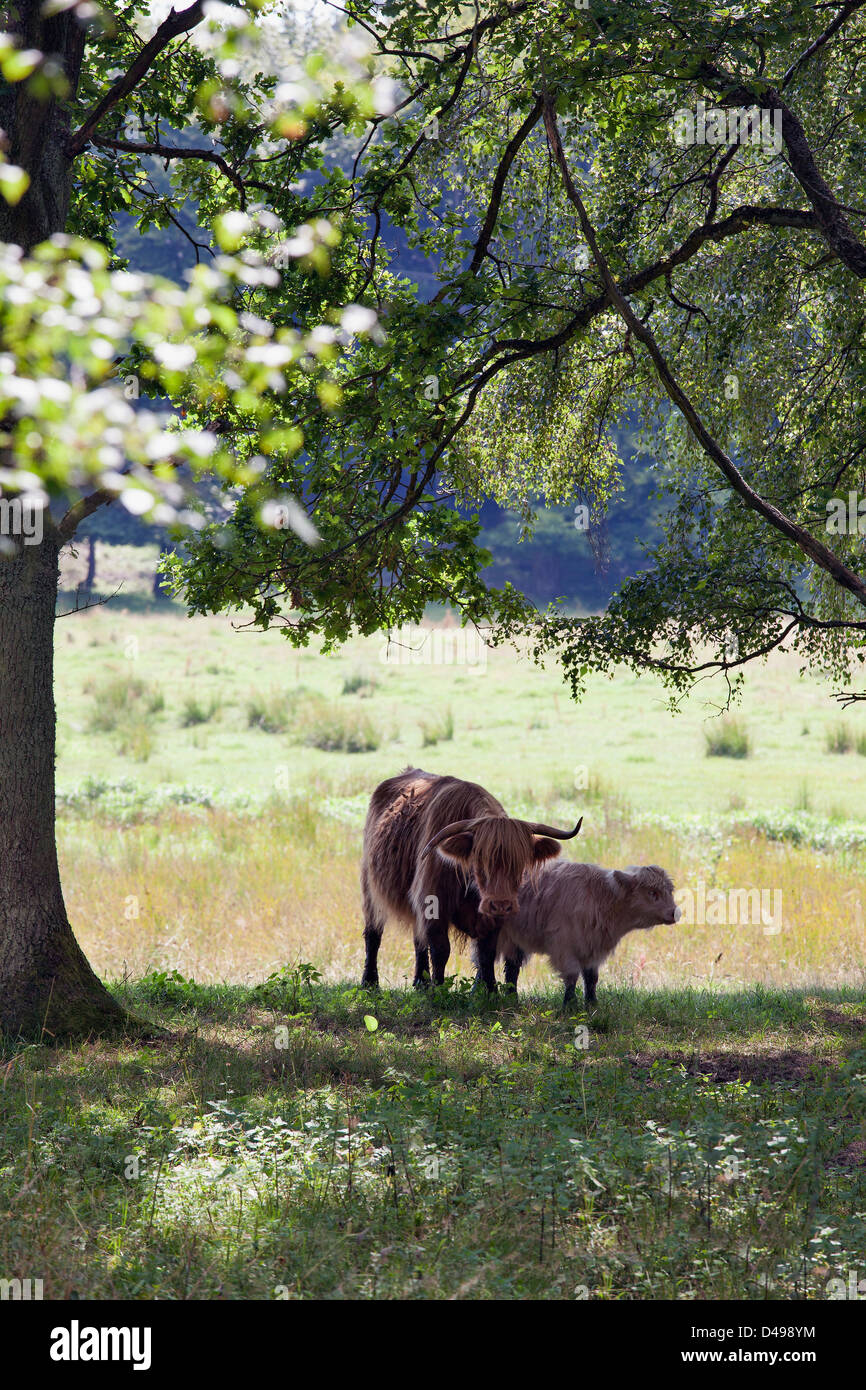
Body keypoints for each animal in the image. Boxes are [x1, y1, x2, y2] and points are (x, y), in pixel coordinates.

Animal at [360, 767, 582, 991]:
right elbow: (441, 950)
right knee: (373, 933)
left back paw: (420, 982)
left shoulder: (492, 919)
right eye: (480, 862)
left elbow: (487, 954)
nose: (501, 904)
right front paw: (439, 990)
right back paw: (370, 982)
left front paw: (490, 991)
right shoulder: (433, 902)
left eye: (519, 865)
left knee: (418, 938)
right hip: (370, 888)